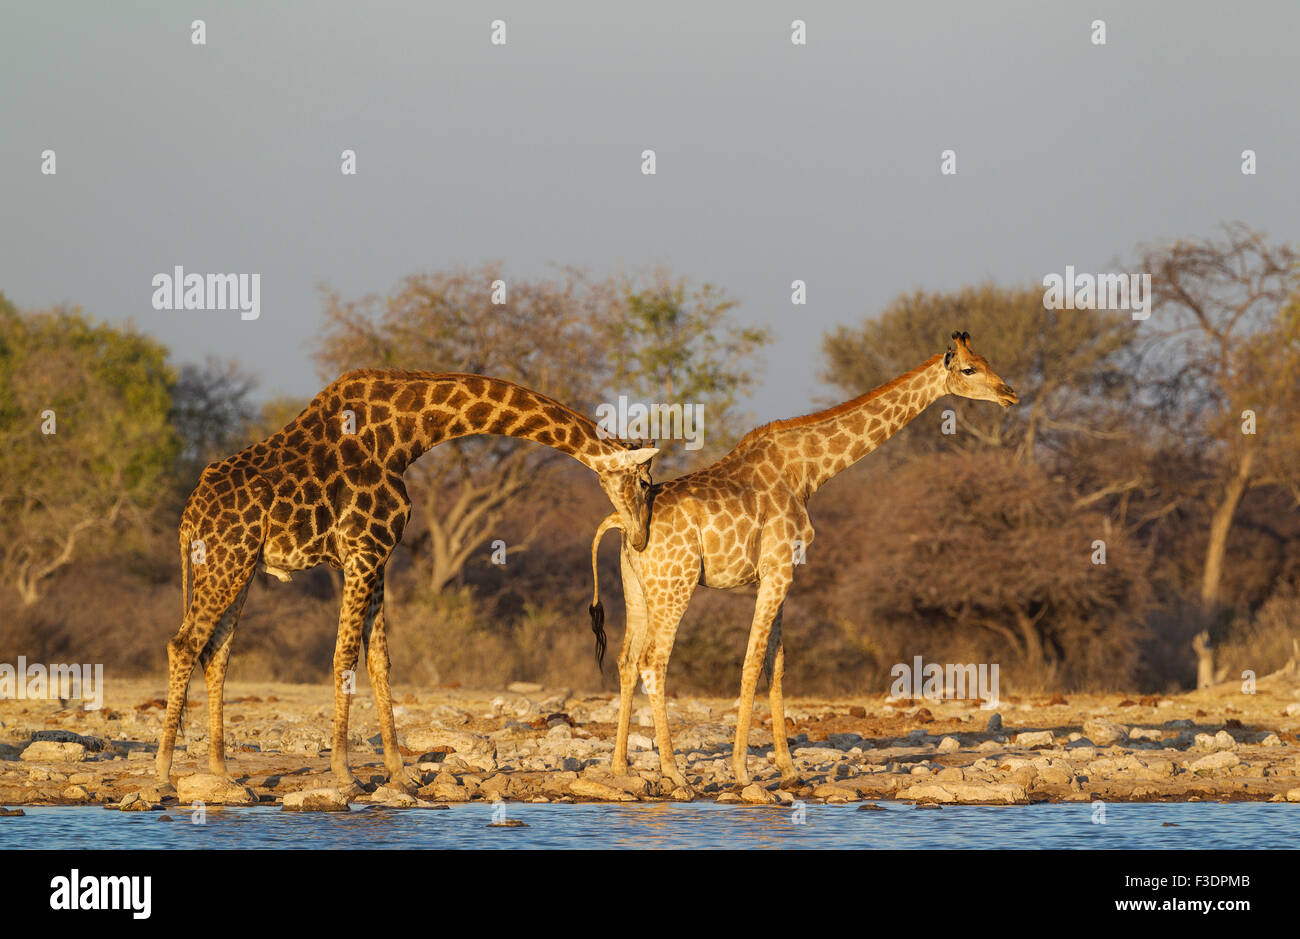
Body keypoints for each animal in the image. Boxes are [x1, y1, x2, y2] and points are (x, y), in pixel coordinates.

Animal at [157, 369, 658, 794]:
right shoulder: (363, 550)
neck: (406, 436)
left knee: (216, 652)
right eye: (642, 481)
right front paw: (344, 773)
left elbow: (379, 660)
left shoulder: (377, 557)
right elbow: (344, 657)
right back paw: (163, 772)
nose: (640, 536)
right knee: (184, 644)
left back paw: (221, 772)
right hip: (226, 559)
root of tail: (187, 517)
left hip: (238, 566)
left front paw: (399, 773)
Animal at [587, 332, 1017, 790]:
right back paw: (674, 773)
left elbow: (774, 666)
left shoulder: (778, 574)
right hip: (676, 584)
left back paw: (620, 767)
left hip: (638, 588)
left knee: (627, 660)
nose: (1010, 393)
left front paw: (789, 770)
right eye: (969, 369)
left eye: (987, 360)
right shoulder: (778, 569)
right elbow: (751, 662)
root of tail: (623, 521)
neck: (808, 470)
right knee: (654, 661)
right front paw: (742, 772)